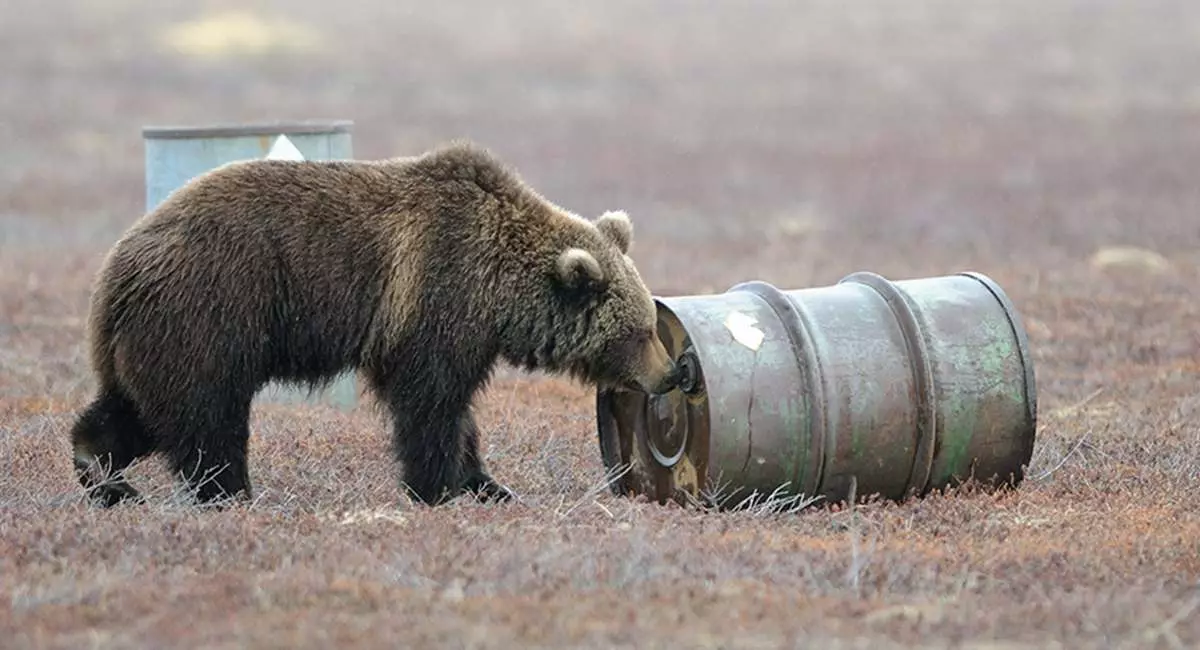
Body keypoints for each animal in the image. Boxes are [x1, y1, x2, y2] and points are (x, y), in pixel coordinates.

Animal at [70, 141, 681, 508]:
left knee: (140, 410)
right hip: (211, 310)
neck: (500, 291)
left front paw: (489, 485)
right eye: (640, 332)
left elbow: (457, 411)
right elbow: (429, 405)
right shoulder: (435, 296)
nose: (671, 373)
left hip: (156, 336)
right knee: (207, 416)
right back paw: (232, 491)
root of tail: (115, 270)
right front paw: (438, 487)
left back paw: (104, 474)